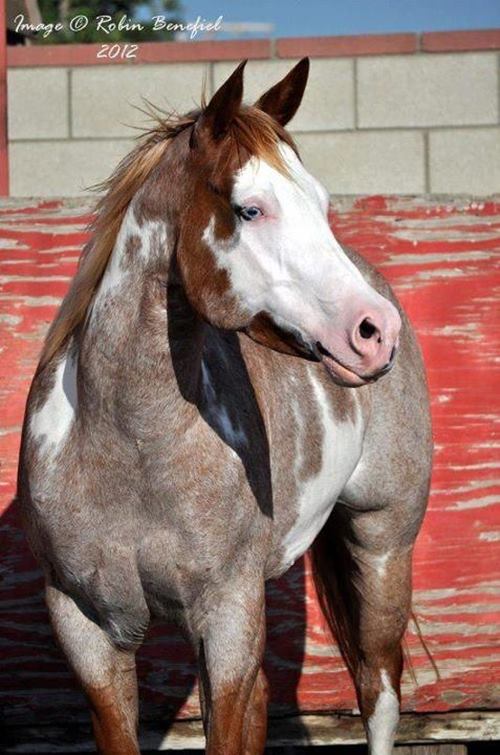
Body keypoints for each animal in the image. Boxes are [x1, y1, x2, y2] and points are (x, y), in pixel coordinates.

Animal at [17, 58, 432, 755]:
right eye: (250, 208)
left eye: (322, 205)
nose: (376, 331)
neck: (130, 445)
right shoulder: (86, 631)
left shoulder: (229, 619)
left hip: (382, 546)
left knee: (378, 688)